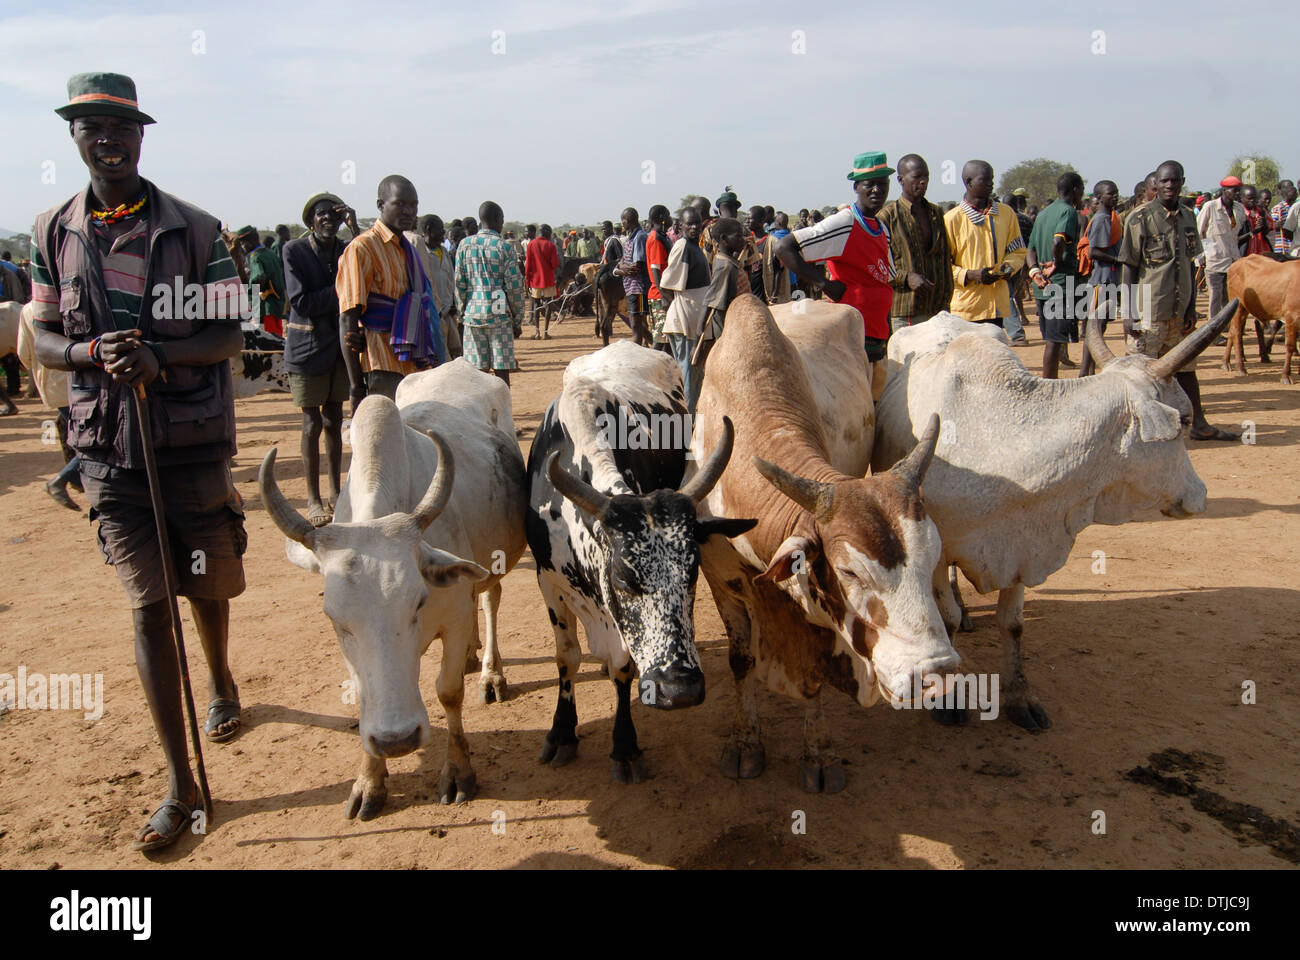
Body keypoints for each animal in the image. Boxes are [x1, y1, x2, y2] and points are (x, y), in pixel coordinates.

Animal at [260, 359, 528, 818]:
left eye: (418, 602)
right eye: (335, 619)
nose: (397, 740)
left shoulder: (453, 615)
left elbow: (448, 691)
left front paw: (458, 773)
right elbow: (364, 696)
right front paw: (370, 781)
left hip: (492, 560)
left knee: (489, 599)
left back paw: (490, 672)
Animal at [526, 341, 755, 783]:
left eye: (692, 574)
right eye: (623, 578)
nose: (679, 690)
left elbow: (622, 667)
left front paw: (624, 747)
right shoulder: (549, 583)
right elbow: (567, 657)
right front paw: (561, 734)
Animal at [690, 296, 960, 794]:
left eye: (930, 555)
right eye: (850, 571)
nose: (935, 674)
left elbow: (813, 676)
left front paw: (818, 755)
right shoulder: (720, 579)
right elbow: (741, 661)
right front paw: (745, 743)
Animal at [872, 305, 1236, 732]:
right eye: (1184, 420)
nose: (1201, 495)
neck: (1004, 445)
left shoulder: (1021, 543)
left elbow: (1012, 623)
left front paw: (1020, 697)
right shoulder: (937, 550)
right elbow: (945, 620)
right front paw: (948, 700)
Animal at [1222, 254, 1298, 383]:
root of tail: (1237, 262)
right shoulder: (1291, 317)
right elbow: (1290, 346)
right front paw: (1285, 375)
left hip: (1244, 309)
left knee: (1232, 332)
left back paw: (1226, 362)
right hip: (1237, 305)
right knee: (1236, 333)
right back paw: (1241, 367)